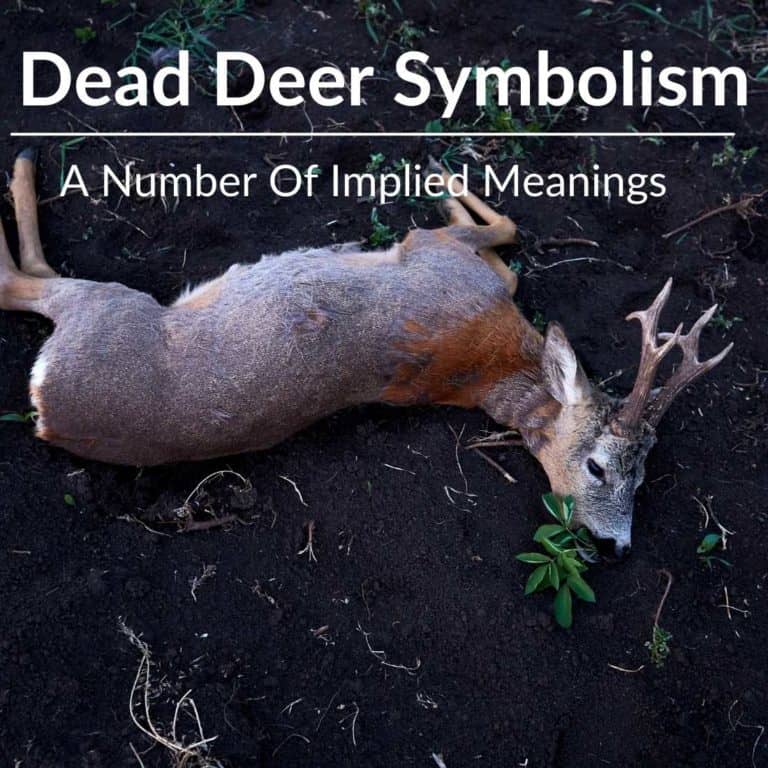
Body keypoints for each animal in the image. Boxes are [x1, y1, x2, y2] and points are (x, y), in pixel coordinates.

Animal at [0, 149, 732, 558]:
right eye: (600, 466)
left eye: (645, 476)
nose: (615, 547)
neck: (486, 364)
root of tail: (48, 409)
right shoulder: (440, 258)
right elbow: (507, 234)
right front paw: (441, 174)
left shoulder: (433, 254)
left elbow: (503, 231)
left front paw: (439, 177)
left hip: (107, 308)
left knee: (20, 282)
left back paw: (23, 168)